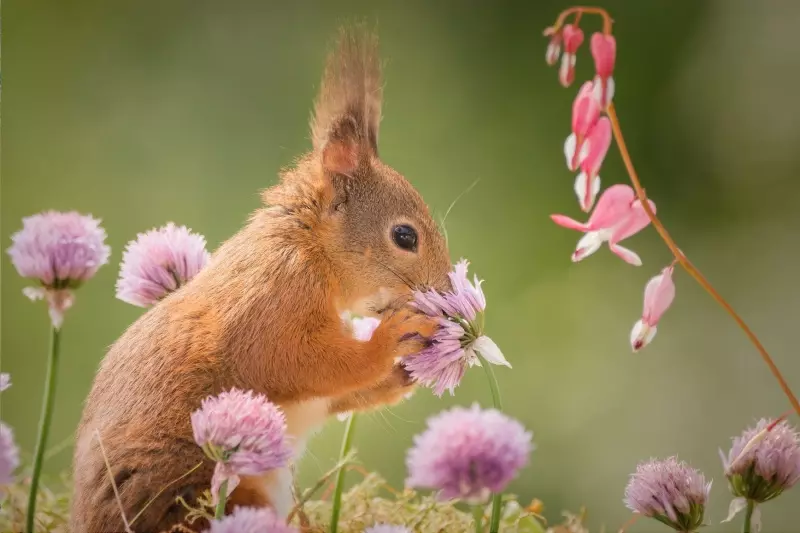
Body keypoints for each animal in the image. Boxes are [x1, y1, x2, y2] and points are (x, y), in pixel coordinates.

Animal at [72, 26, 454, 532]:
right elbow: (300, 362)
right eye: (405, 236)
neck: (311, 250)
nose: (447, 296)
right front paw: (390, 339)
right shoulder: (271, 300)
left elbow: (336, 394)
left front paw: (401, 374)